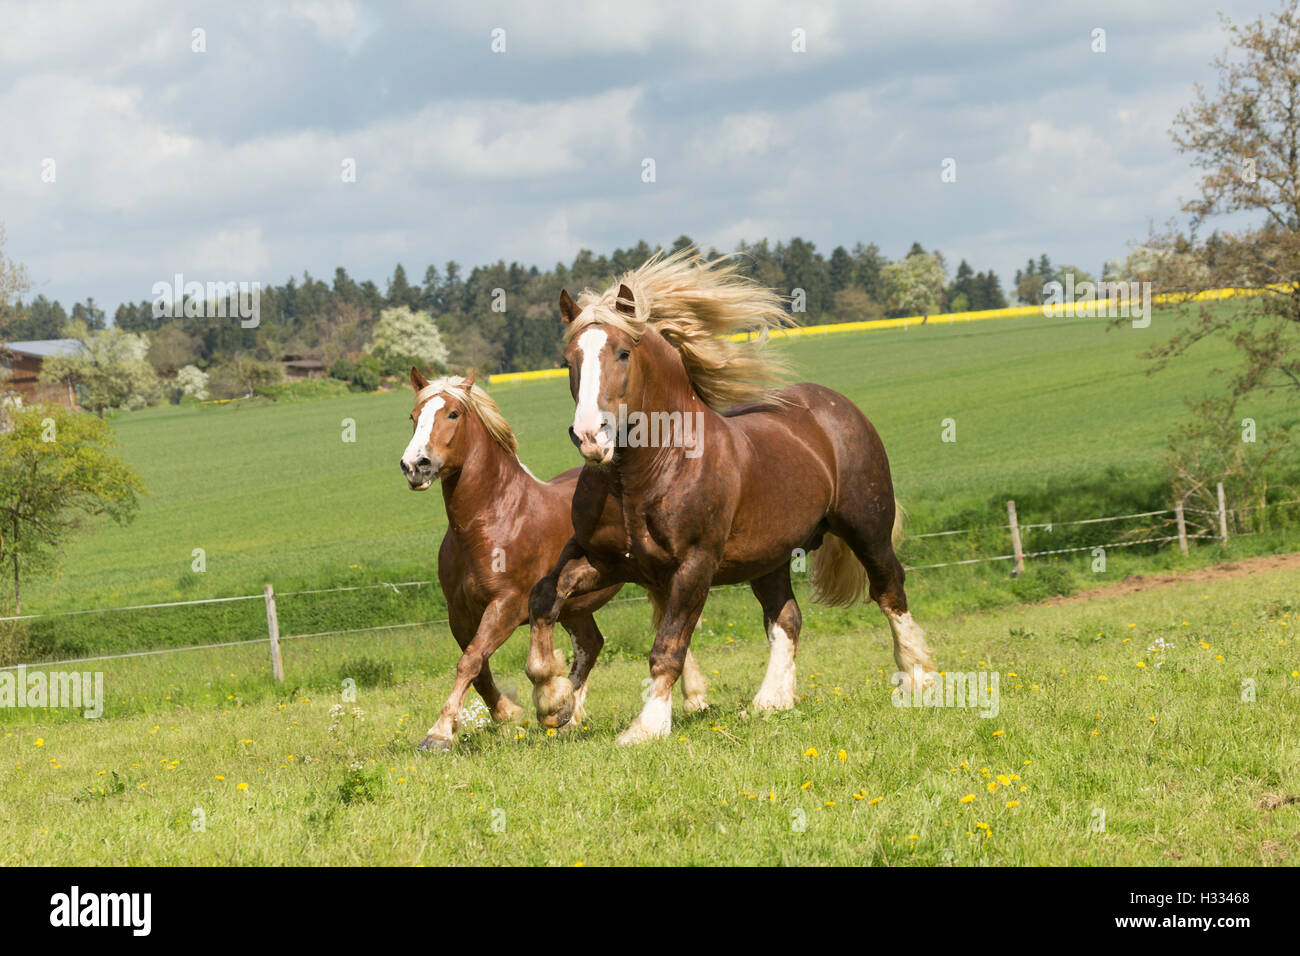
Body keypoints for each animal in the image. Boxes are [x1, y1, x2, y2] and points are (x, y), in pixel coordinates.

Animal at [398, 367, 708, 751]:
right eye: (413, 416)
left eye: (453, 414)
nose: (415, 466)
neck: (492, 519)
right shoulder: (459, 613)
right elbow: (478, 668)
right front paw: (506, 716)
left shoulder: (507, 606)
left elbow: (470, 660)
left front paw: (439, 733)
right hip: (576, 605)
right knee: (592, 644)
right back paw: (568, 713)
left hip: (654, 579)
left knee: (671, 625)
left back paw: (694, 699)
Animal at [524, 249, 936, 745]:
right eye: (569, 359)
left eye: (623, 352)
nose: (590, 436)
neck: (643, 476)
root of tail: (836, 406)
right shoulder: (601, 559)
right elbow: (544, 597)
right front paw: (554, 699)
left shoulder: (694, 565)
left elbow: (668, 646)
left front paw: (646, 727)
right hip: (771, 557)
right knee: (786, 618)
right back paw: (769, 703)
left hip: (867, 527)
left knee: (889, 590)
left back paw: (917, 679)